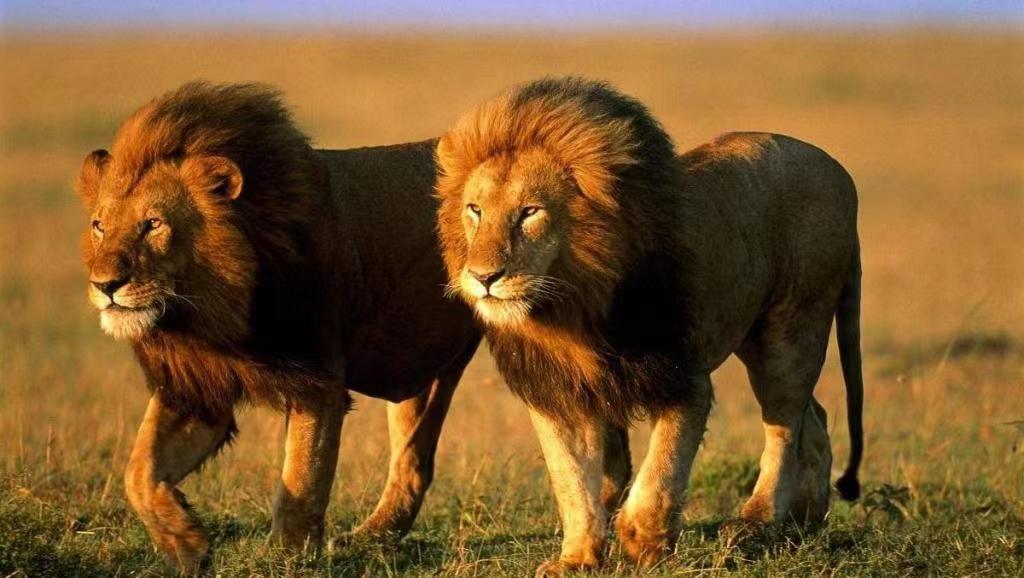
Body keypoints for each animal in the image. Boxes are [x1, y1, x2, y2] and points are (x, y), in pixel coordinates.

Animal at [76, 82, 484, 572]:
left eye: (153, 224)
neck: (209, 311)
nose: (105, 285)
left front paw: (285, 558)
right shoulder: (198, 384)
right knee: (413, 462)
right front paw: (187, 543)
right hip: (421, 364)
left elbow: (301, 482)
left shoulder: (318, 380)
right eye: (99, 226)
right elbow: (138, 470)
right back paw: (370, 538)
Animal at [436, 77, 864, 574]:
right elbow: (571, 483)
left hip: (790, 329)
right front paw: (576, 558)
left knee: (785, 426)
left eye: (529, 212)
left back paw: (755, 523)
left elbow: (662, 468)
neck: (569, 308)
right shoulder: (557, 393)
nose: (484, 277)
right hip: (758, 337)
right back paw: (804, 520)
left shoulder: (684, 379)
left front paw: (643, 541)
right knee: (812, 417)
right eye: (474, 210)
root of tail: (839, 171)